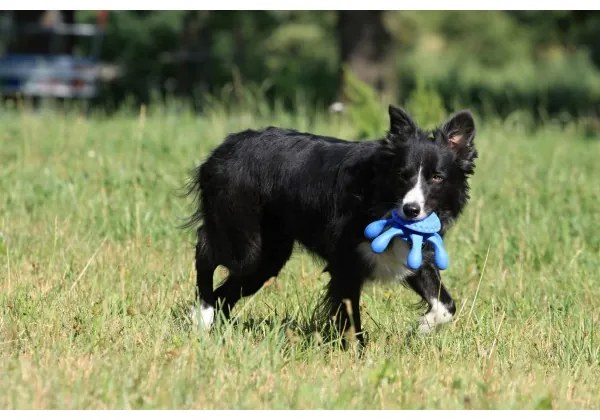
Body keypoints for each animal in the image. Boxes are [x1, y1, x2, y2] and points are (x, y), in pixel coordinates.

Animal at [188, 105, 478, 344]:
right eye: (402, 175)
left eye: (437, 177)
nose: (411, 210)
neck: (377, 194)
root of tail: (224, 147)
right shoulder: (346, 260)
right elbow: (351, 318)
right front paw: (358, 355)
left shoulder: (411, 252)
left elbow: (446, 306)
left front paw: (422, 327)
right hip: (244, 238)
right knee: (206, 251)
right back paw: (203, 315)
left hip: (269, 255)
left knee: (228, 291)